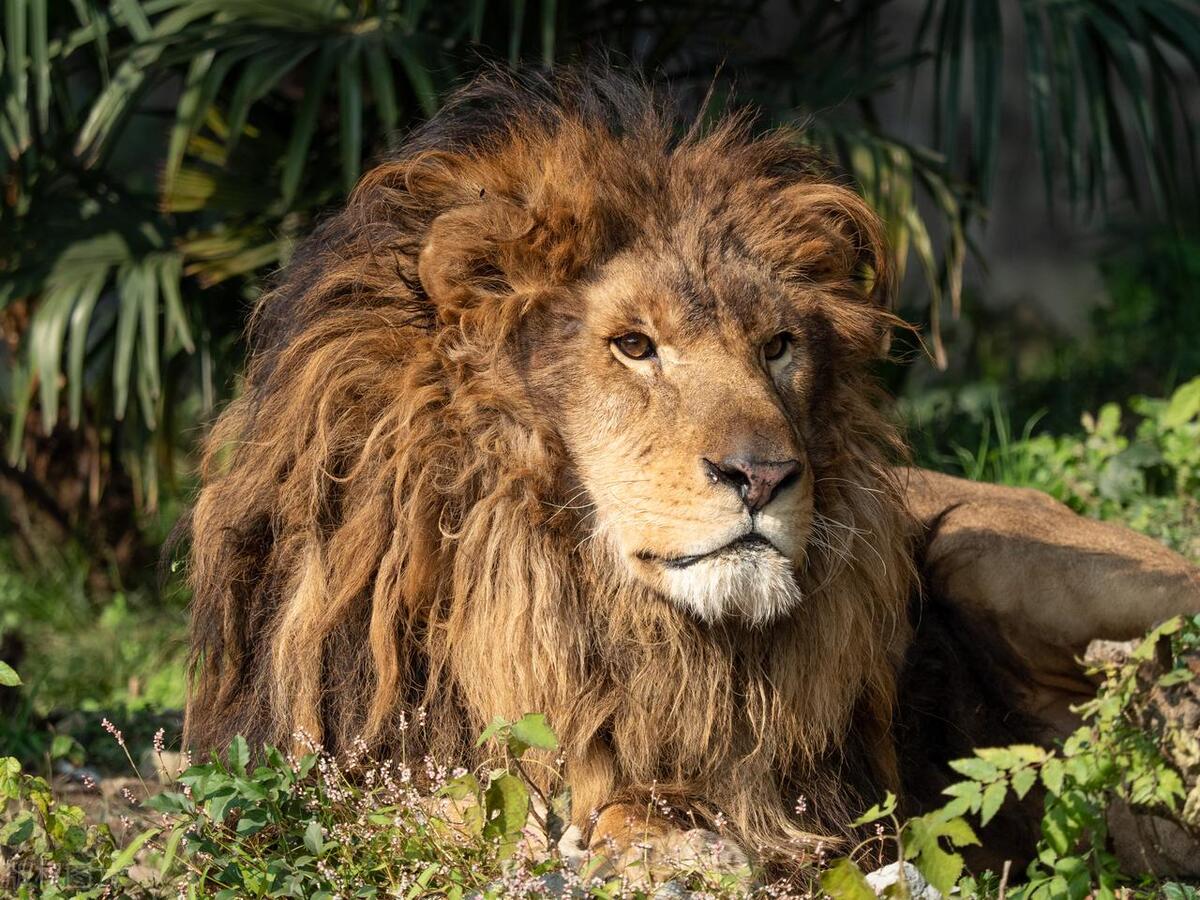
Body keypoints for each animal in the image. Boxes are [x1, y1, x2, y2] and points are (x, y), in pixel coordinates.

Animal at [184, 67, 1200, 877]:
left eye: (779, 346)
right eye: (634, 346)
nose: (764, 476)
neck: (549, 585)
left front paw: (661, 835)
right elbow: (437, 807)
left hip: (1009, 555)